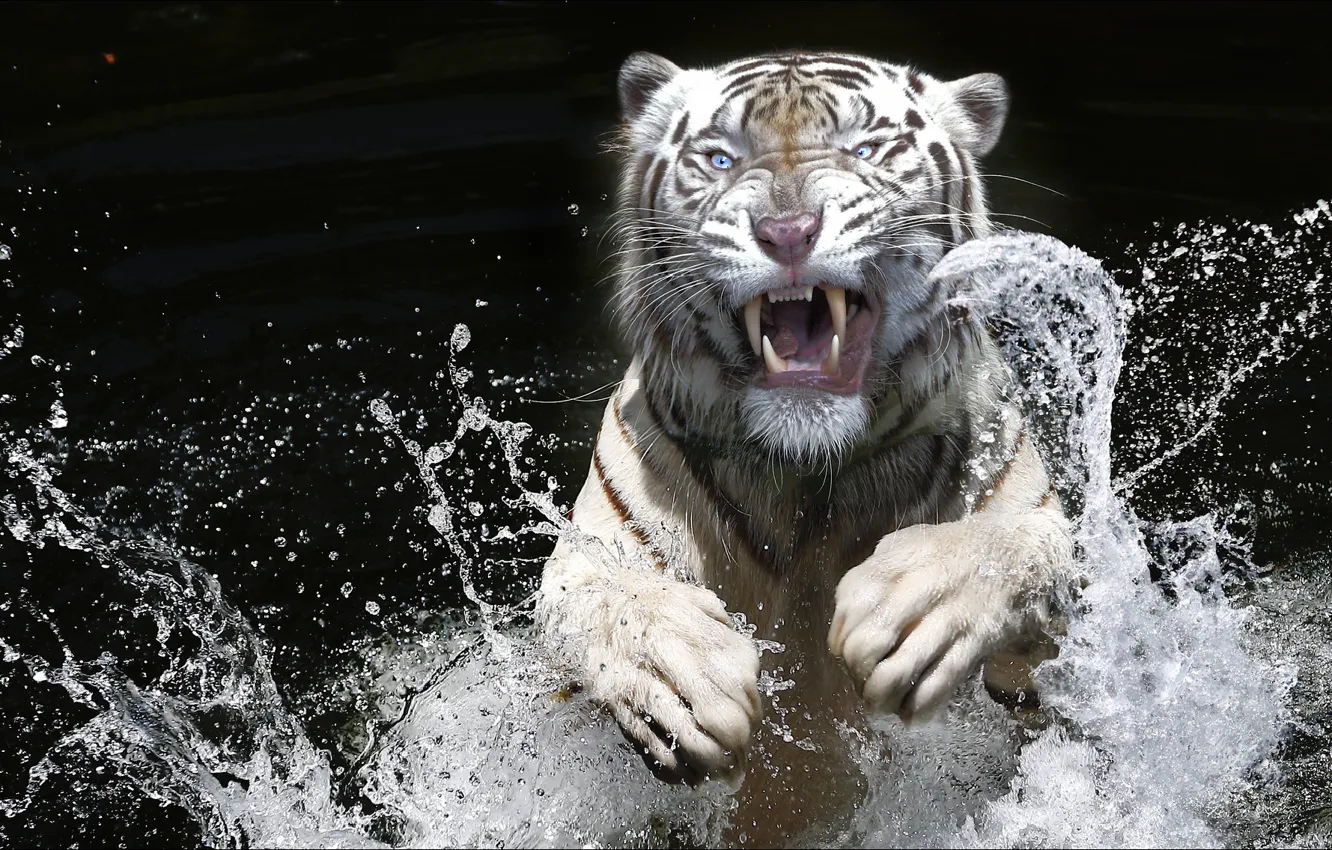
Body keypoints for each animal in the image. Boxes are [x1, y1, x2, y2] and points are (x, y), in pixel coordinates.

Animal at [537, 50, 1075, 841]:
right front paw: (682, 677)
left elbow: (1025, 548)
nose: (787, 231)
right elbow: (603, 599)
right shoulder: (594, 553)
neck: (808, 477)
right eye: (721, 158)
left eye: (865, 151)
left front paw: (917, 604)